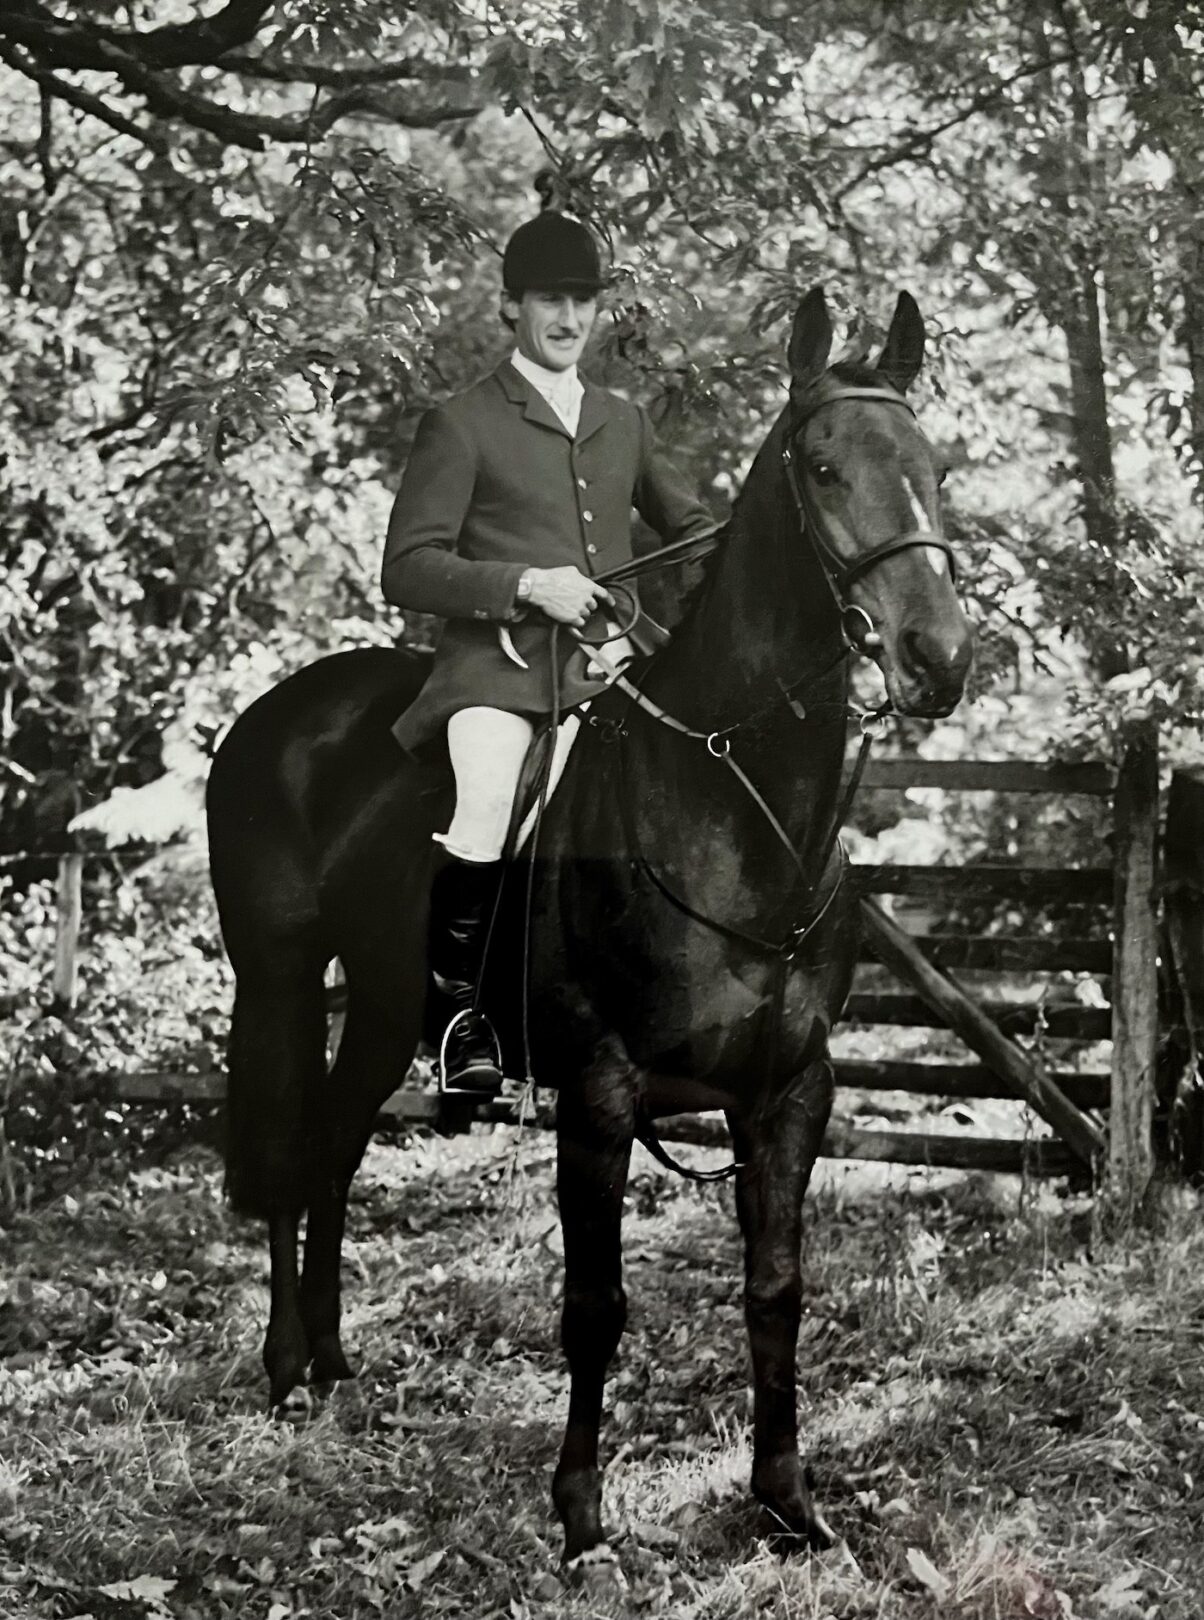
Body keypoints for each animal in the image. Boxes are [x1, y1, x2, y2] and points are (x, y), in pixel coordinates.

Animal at [206, 286, 974, 1562]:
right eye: (822, 468)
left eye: (933, 468)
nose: (939, 658)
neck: (732, 803)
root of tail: (281, 708)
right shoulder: (600, 1090)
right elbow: (596, 1304)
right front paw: (578, 1514)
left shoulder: (791, 1089)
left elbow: (775, 1288)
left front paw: (786, 1502)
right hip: (278, 980)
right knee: (292, 1146)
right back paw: (281, 1370)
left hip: (385, 1002)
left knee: (335, 1147)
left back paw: (328, 1359)